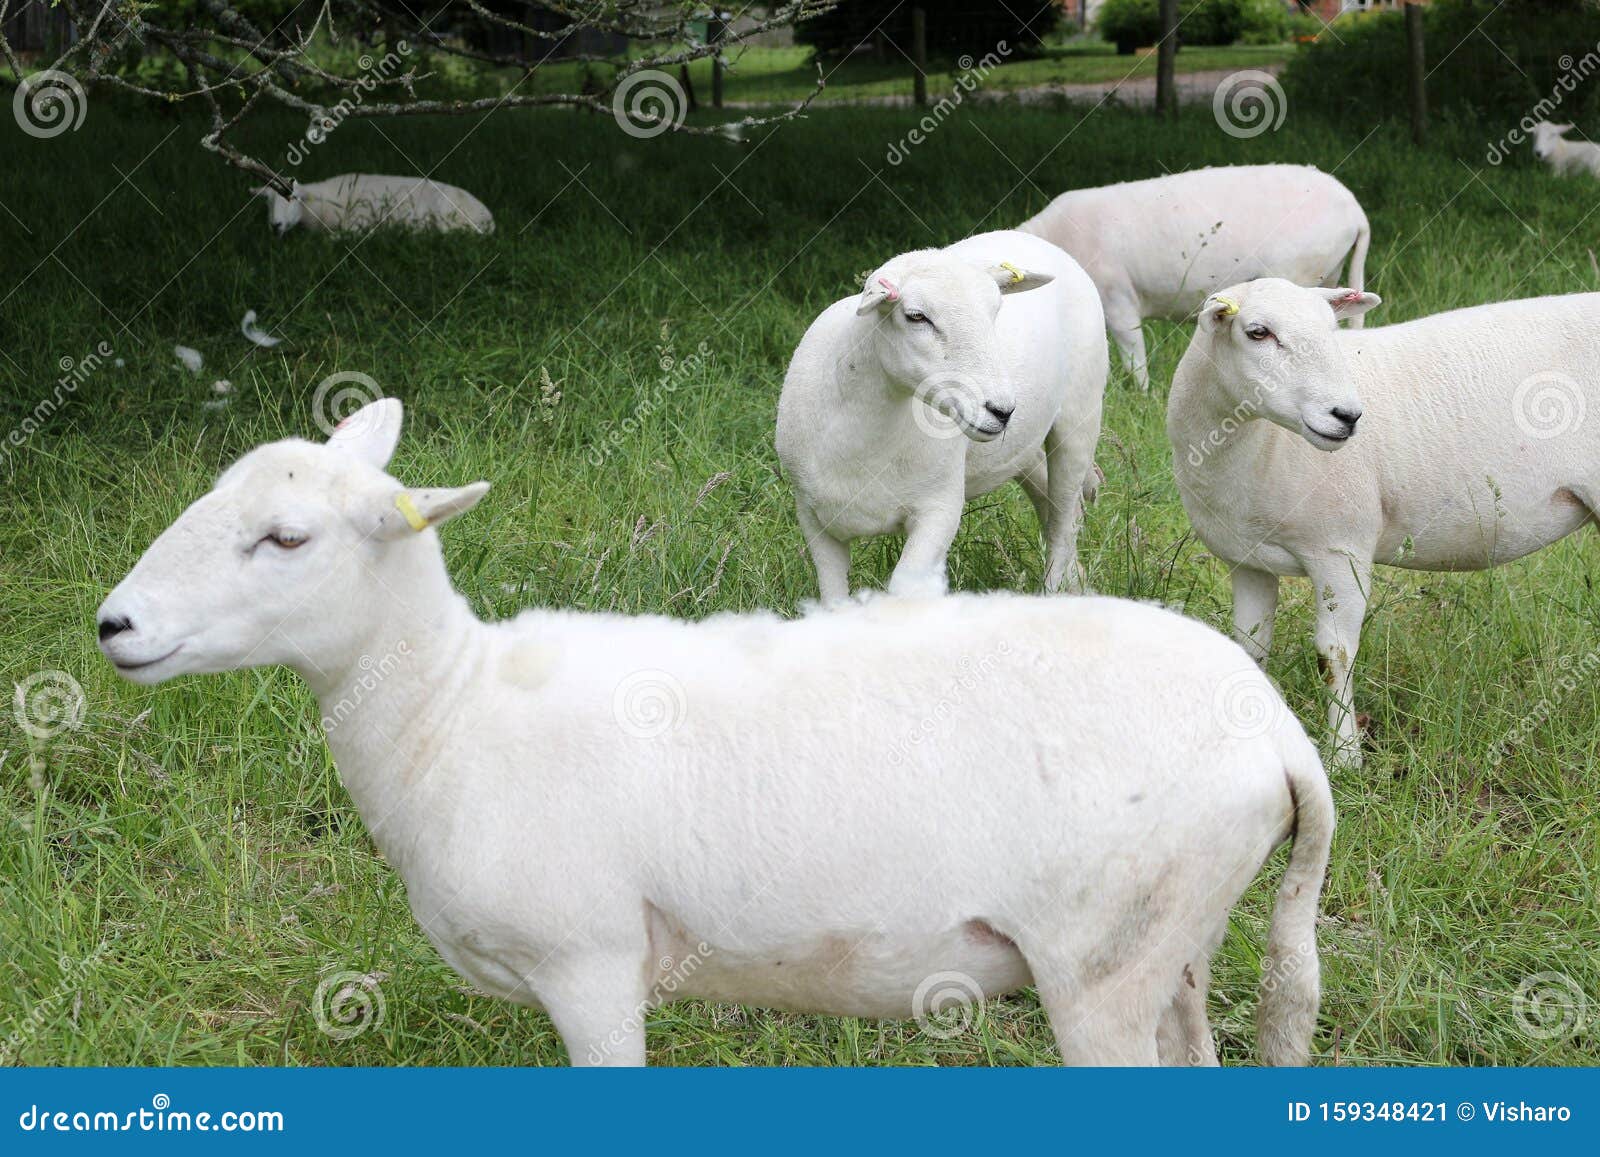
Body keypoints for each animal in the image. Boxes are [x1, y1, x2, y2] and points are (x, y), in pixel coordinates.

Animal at [98, 398, 1333, 1067]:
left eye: (286, 537)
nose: (115, 624)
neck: (448, 714)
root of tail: (1279, 734)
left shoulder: (589, 963)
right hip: (1172, 940)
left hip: (1101, 958)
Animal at [775, 230, 1107, 601]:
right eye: (916, 316)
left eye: (996, 311)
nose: (1002, 410)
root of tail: (1031, 237)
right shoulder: (814, 519)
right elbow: (834, 600)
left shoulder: (940, 508)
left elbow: (904, 587)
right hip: (1019, 447)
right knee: (1049, 497)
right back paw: (1076, 584)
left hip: (1080, 415)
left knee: (1064, 517)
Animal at [1169, 277, 1600, 768]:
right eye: (1257, 332)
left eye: (1331, 328)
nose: (1347, 415)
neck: (1254, 447)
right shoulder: (1247, 562)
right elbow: (1250, 648)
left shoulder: (1340, 549)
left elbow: (1334, 655)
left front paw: (1344, 756)